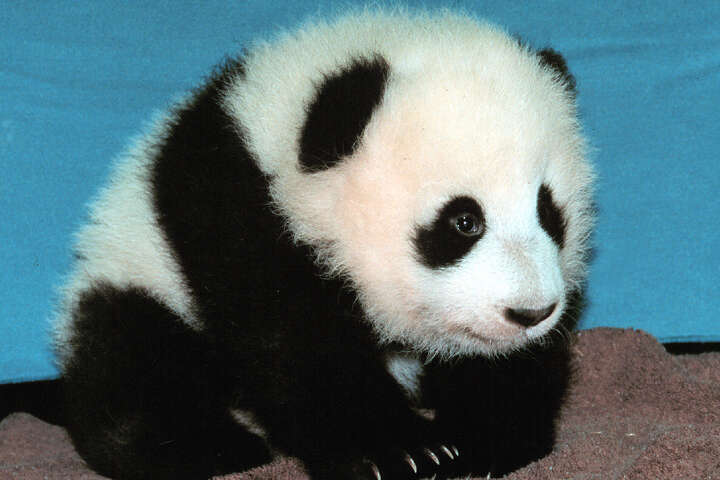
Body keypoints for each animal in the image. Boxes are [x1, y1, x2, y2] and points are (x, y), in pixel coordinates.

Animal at [54, 9, 593, 480]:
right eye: (464, 221)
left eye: (550, 212)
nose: (530, 313)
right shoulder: (236, 209)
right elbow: (296, 345)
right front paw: (402, 452)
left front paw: (488, 440)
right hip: (138, 269)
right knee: (137, 358)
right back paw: (207, 446)